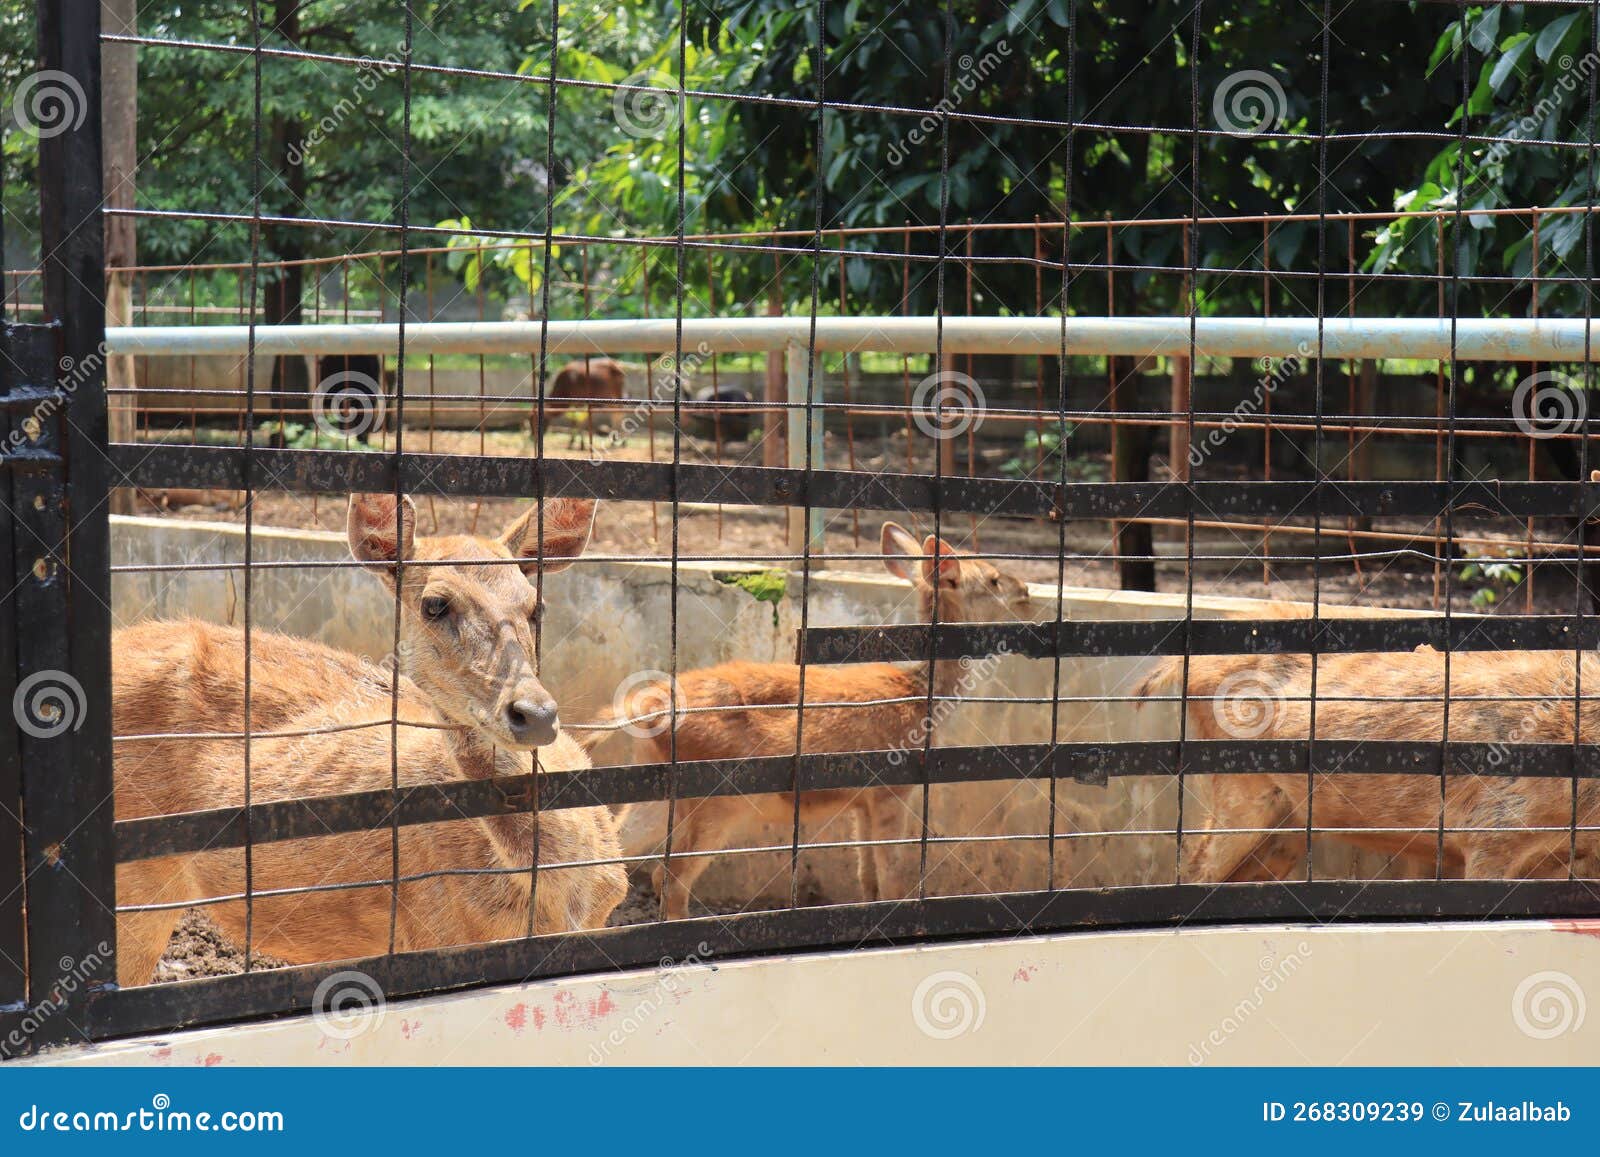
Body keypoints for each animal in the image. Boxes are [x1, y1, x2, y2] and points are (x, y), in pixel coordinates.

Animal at [111, 493, 627, 986]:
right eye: (435, 604)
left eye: (536, 605)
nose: (534, 714)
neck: (560, 895)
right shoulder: (434, 933)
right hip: (136, 888)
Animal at [584, 522, 1032, 919]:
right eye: (993, 579)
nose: (1026, 590)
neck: (919, 694)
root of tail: (644, 707)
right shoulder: (893, 788)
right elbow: (893, 877)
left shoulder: (861, 801)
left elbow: (867, 876)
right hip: (720, 795)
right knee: (670, 876)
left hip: (657, 781)